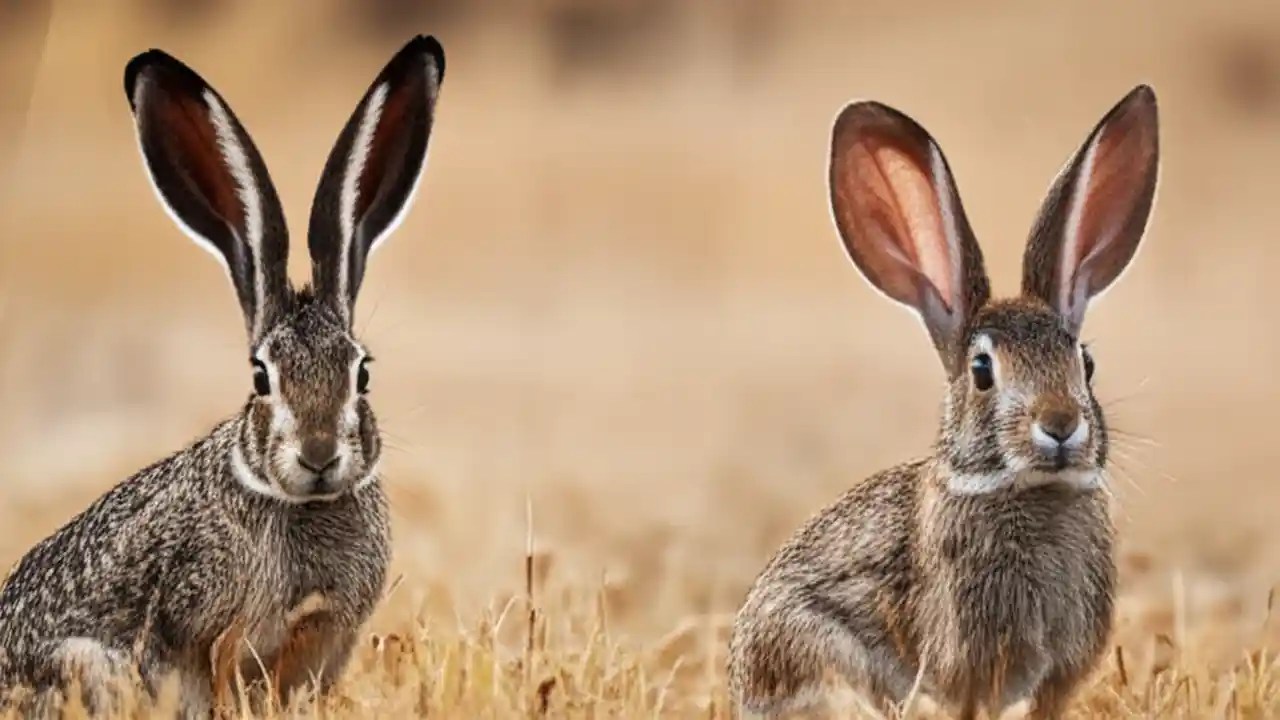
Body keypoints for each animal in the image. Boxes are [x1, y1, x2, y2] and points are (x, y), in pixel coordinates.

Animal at [728, 84, 1159, 720]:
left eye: (1086, 364)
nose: (1060, 424)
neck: (1027, 490)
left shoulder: (1056, 675)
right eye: (982, 371)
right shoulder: (967, 667)